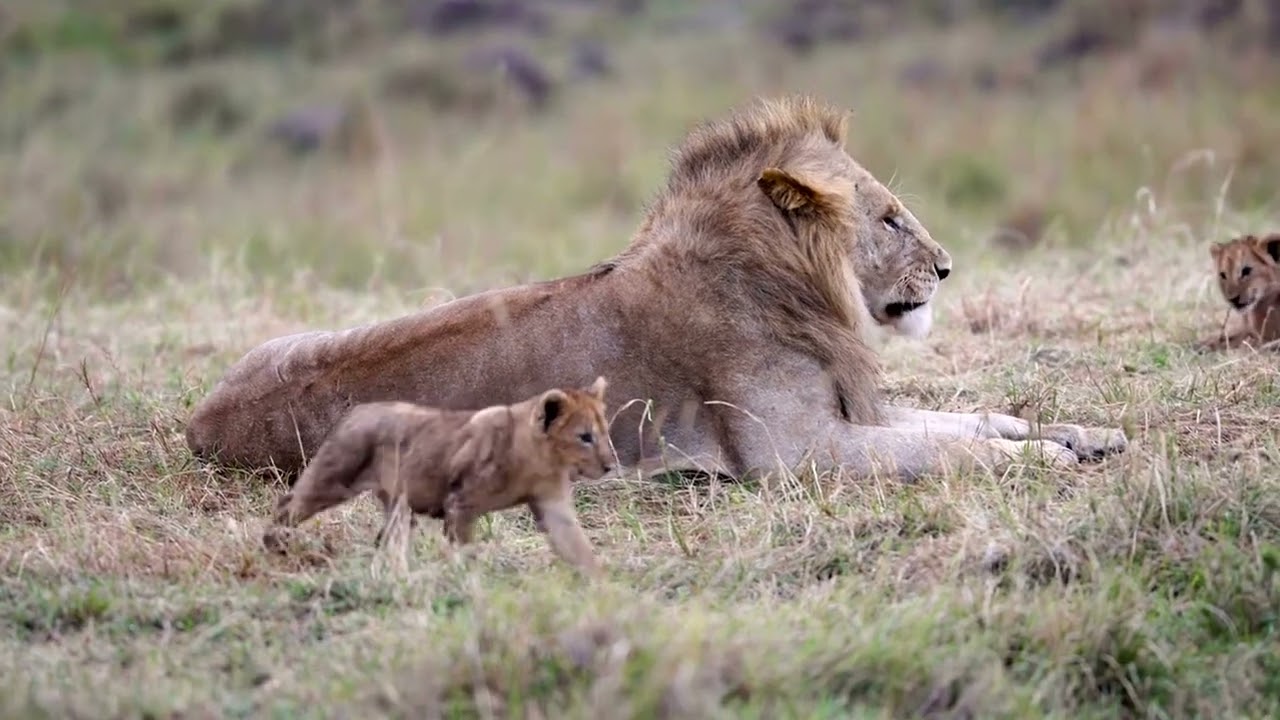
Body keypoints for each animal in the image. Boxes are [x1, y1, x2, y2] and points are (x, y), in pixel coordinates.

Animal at [185, 94, 1127, 485]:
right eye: (891, 219)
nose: (947, 268)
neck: (791, 288)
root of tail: (199, 422)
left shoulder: (851, 412)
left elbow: (976, 418)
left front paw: (1085, 434)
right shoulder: (796, 453)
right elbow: (951, 450)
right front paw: (1043, 461)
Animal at [264, 377, 613, 576]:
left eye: (604, 432)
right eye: (585, 437)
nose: (610, 465)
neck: (539, 458)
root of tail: (356, 411)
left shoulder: (552, 503)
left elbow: (577, 546)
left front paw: (602, 588)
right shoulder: (460, 502)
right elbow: (464, 550)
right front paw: (469, 583)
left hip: (397, 502)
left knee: (387, 537)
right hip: (334, 478)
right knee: (287, 503)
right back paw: (274, 545)